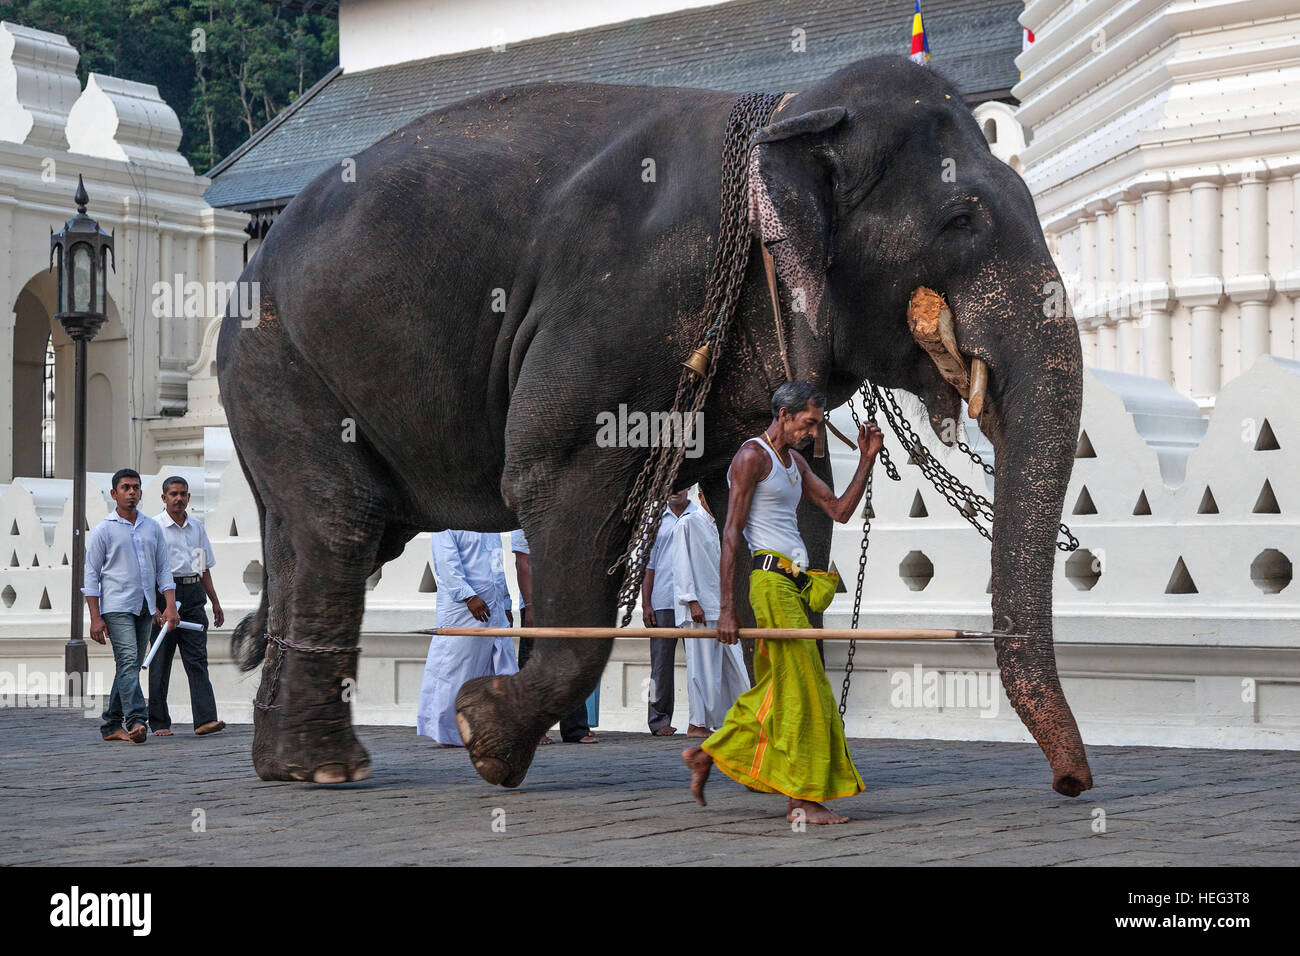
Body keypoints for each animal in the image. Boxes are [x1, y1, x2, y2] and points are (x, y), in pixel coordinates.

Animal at [217, 54, 1093, 798]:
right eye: (961, 220)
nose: (1071, 784)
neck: (789, 109)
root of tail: (247, 267)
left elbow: (778, 513)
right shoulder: (622, 307)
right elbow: (555, 473)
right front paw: (482, 734)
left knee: (318, 539)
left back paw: (290, 761)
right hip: (280, 362)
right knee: (342, 525)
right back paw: (329, 769)